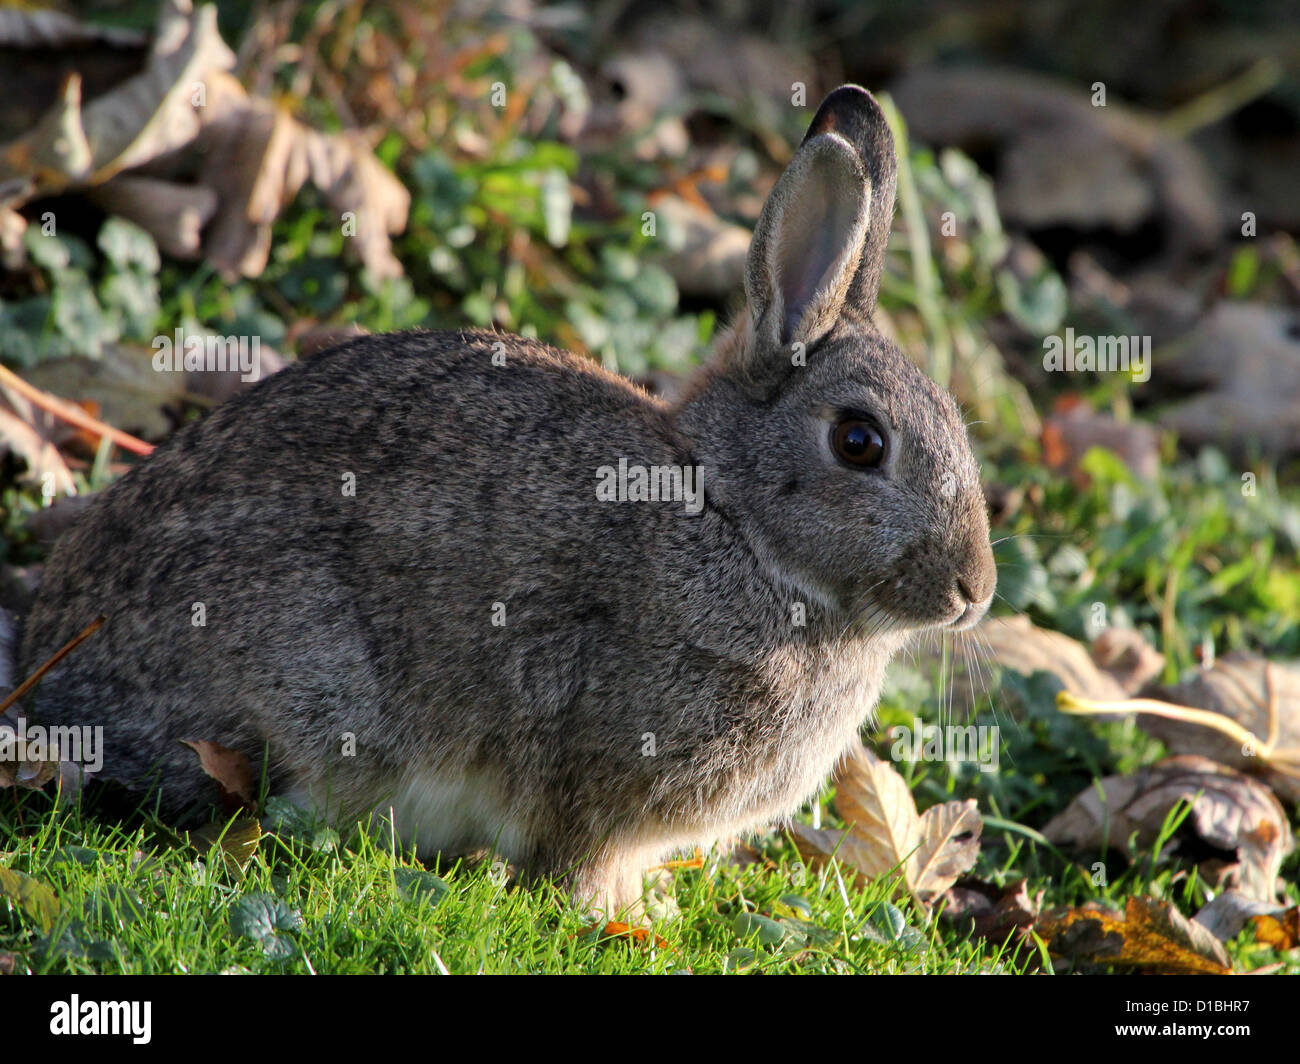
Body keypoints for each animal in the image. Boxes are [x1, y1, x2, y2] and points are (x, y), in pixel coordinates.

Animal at [17, 85, 996, 918]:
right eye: (859, 443)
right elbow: (578, 853)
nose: (974, 592)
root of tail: (41, 669)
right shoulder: (595, 759)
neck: (734, 520)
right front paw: (618, 919)